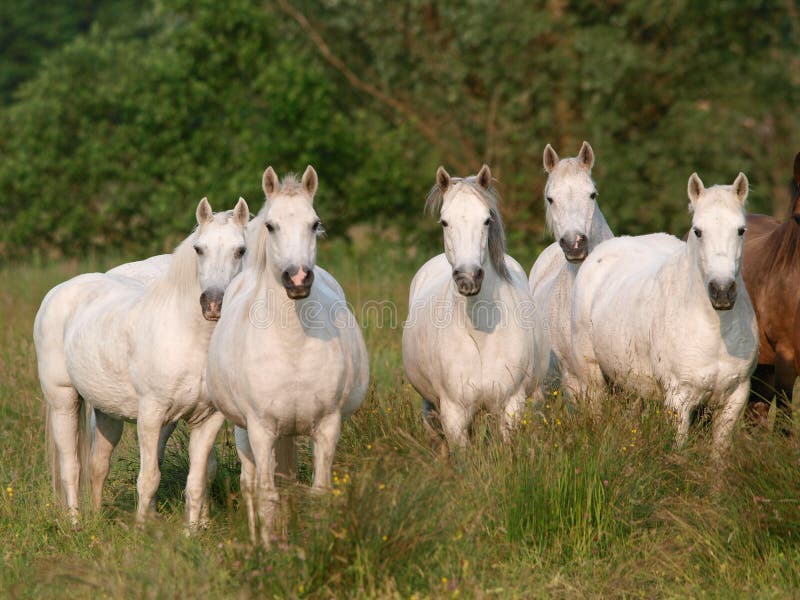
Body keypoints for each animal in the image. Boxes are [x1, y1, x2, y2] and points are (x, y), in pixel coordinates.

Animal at [34, 197, 249, 524]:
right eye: (199, 249)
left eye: (241, 250)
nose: (213, 303)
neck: (187, 337)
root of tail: (60, 290)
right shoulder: (151, 415)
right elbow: (149, 478)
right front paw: (142, 529)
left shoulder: (207, 420)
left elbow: (198, 481)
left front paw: (193, 530)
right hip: (63, 400)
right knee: (71, 466)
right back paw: (75, 524)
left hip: (107, 410)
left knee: (99, 464)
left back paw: (98, 519)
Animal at [204, 166, 369, 548]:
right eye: (271, 225)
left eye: (315, 223)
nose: (297, 278)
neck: (291, 345)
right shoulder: (261, 429)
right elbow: (267, 494)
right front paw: (269, 548)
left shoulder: (327, 425)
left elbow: (318, 493)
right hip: (247, 431)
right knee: (251, 483)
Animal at [402, 164, 545, 450]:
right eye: (444, 221)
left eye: (487, 220)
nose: (468, 277)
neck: (481, 335)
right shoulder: (454, 413)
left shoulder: (511, 405)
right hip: (430, 405)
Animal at [570, 173, 758, 456]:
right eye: (698, 231)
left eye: (741, 230)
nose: (722, 291)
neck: (716, 331)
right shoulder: (679, 399)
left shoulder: (735, 397)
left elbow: (718, 455)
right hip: (592, 378)